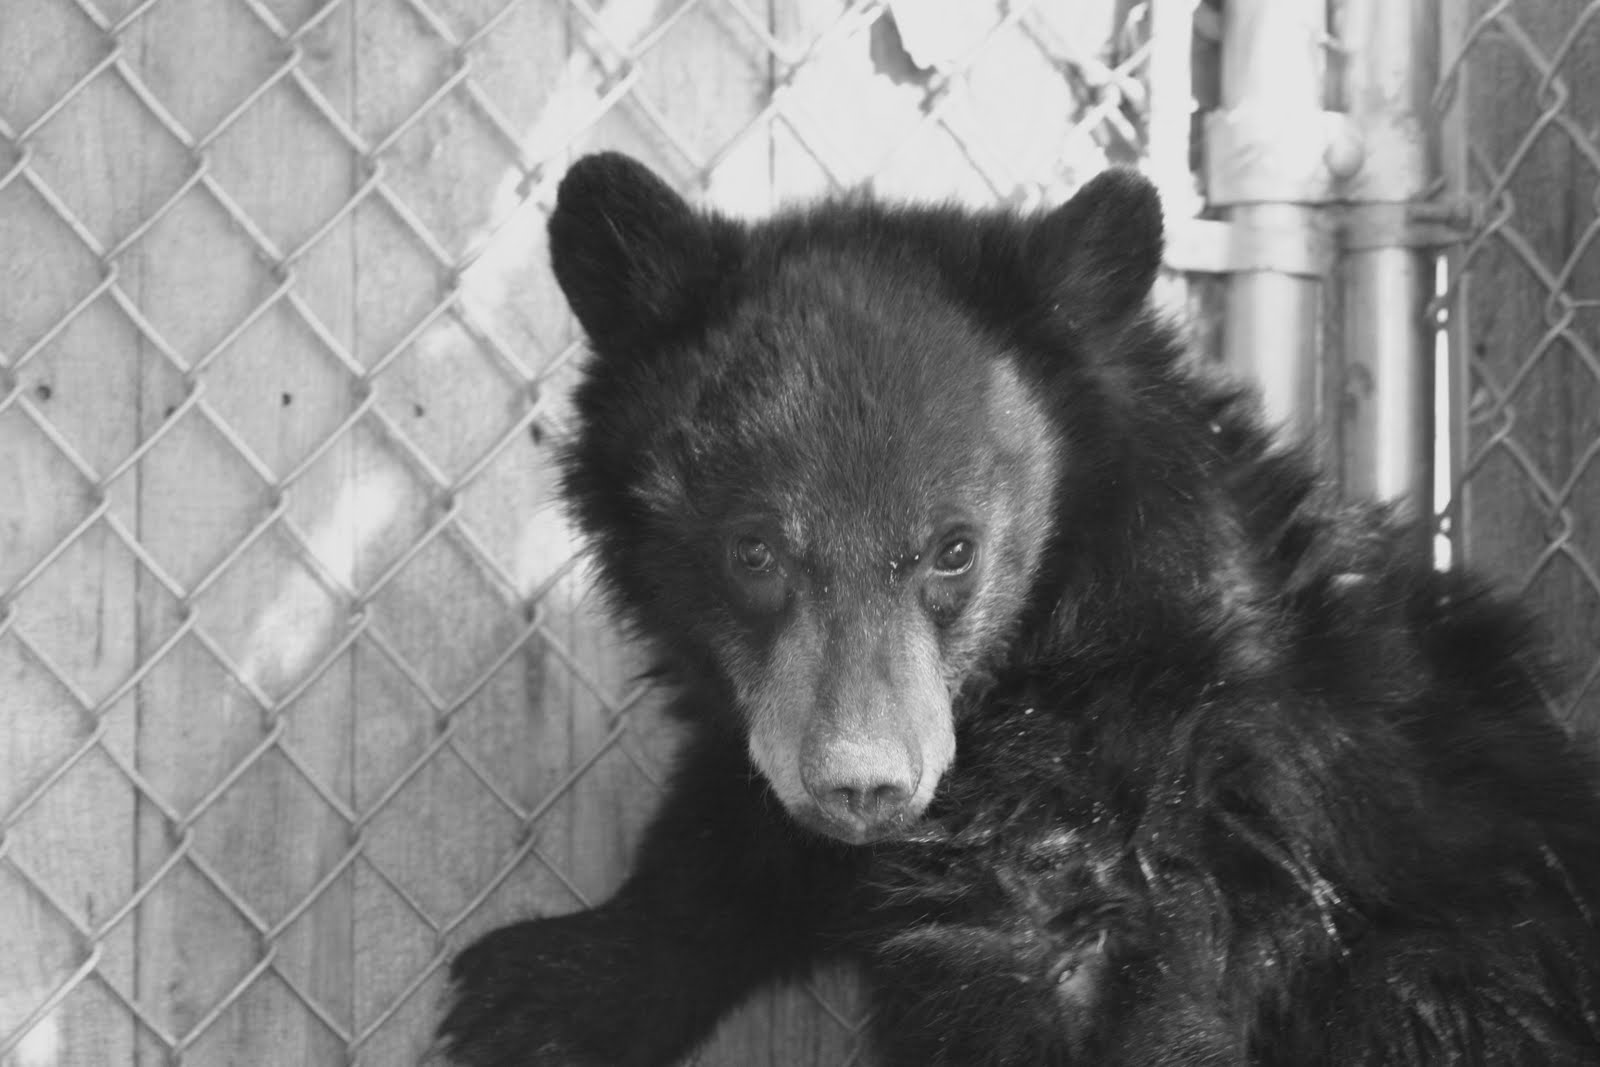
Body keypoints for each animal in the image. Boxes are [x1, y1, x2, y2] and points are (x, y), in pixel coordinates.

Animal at [436, 151, 1600, 1066]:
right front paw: (542, 983)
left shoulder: (1152, 834)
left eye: (954, 548)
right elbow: (732, 831)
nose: (861, 783)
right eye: (753, 548)